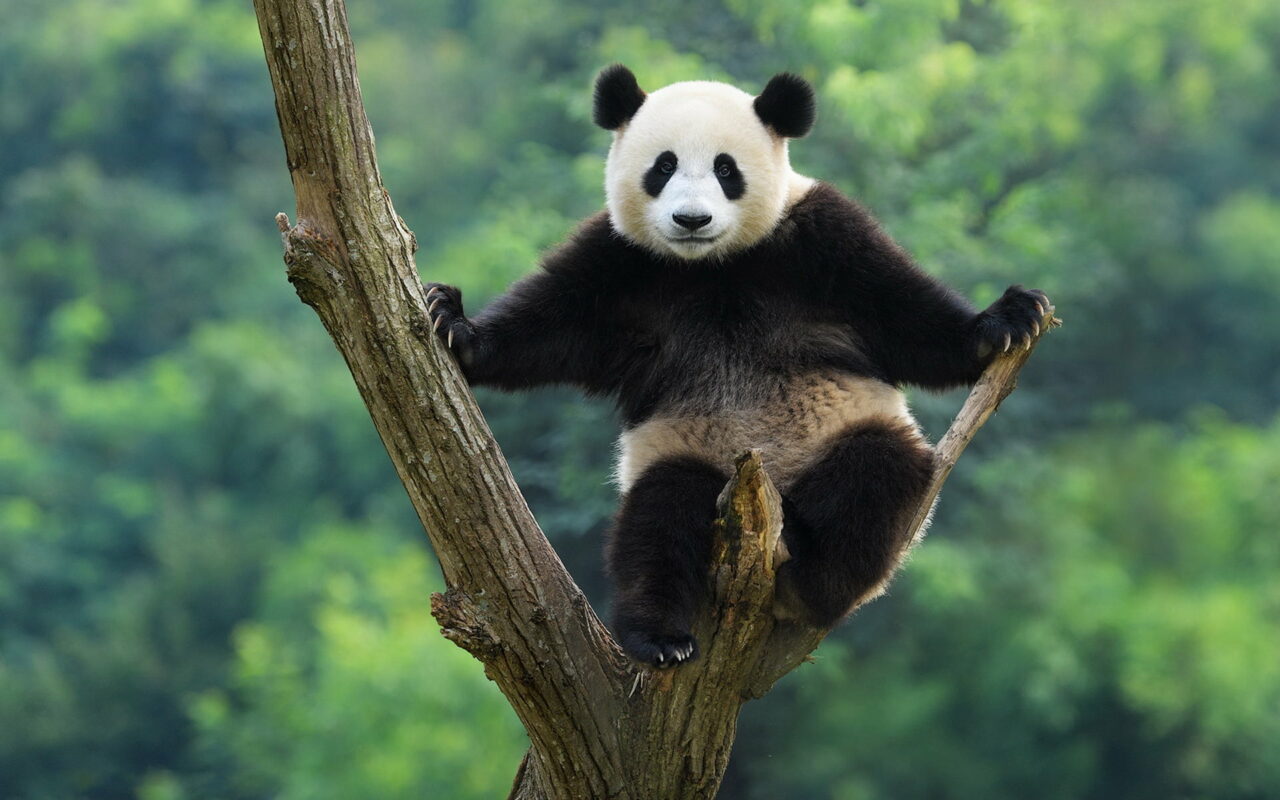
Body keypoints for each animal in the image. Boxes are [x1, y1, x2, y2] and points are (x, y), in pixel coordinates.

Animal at [425, 65, 1049, 668]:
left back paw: (814, 581)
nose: (691, 219)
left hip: (846, 434)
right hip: (685, 451)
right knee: (660, 517)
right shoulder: (620, 261)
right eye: (664, 166)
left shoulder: (820, 238)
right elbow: (548, 323)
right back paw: (660, 636)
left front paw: (1007, 319)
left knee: (873, 475)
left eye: (726, 169)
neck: (713, 265)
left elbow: (904, 316)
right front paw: (457, 325)